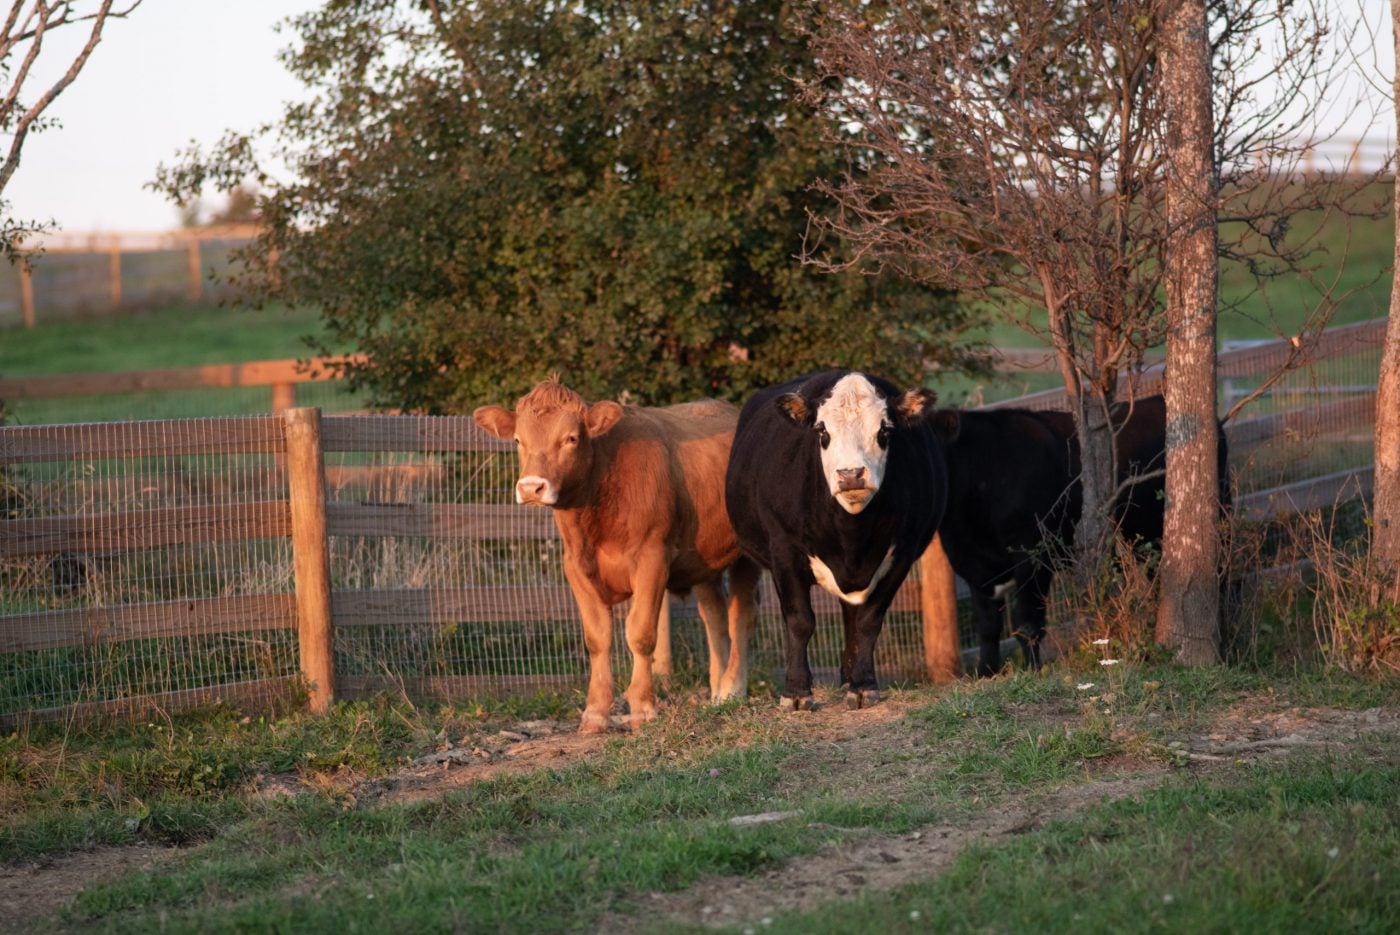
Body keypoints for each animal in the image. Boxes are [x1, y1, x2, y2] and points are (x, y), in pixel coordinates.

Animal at [473, 378, 759, 733]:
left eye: (571, 438)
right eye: (517, 439)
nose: (531, 487)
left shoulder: (652, 558)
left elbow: (641, 633)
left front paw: (643, 708)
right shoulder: (576, 567)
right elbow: (597, 638)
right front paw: (595, 712)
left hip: (747, 553)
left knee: (741, 616)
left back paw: (733, 688)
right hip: (704, 558)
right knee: (714, 617)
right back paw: (718, 693)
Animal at [724, 370, 948, 711]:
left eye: (884, 430)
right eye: (822, 431)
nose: (851, 474)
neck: (851, 535)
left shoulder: (902, 553)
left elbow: (869, 620)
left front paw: (863, 686)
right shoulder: (784, 550)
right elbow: (800, 621)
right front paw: (797, 692)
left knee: (852, 616)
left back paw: (849, 678)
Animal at [935, 394, 1231, 676]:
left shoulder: (1034, 556)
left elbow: (1027, 622)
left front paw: (1033, 670)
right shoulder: (972, 566)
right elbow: (988, 626)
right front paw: (985, 672)